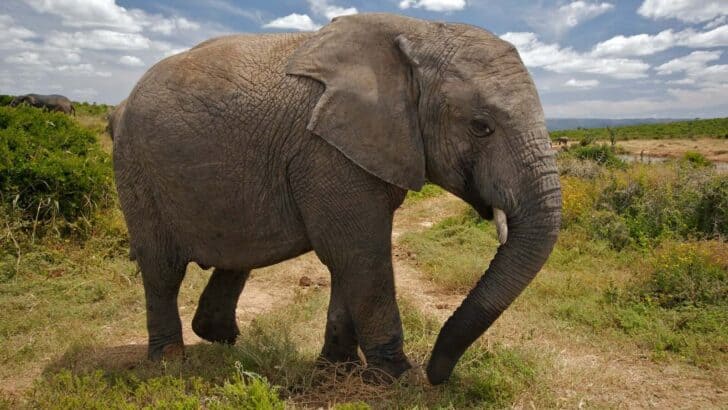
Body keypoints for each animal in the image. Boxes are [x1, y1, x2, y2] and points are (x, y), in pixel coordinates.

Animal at [112, 13, 561, 385]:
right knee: (163, 269)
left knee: (237, 255)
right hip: (136, 169)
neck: (420, 34)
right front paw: (397, 379)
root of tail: (119, 106)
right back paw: (169, 362)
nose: (438, 375)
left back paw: (220, 339)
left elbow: (349, 258)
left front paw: (337, 370)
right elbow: (360, 254)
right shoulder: (327, 151)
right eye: (481, 126)